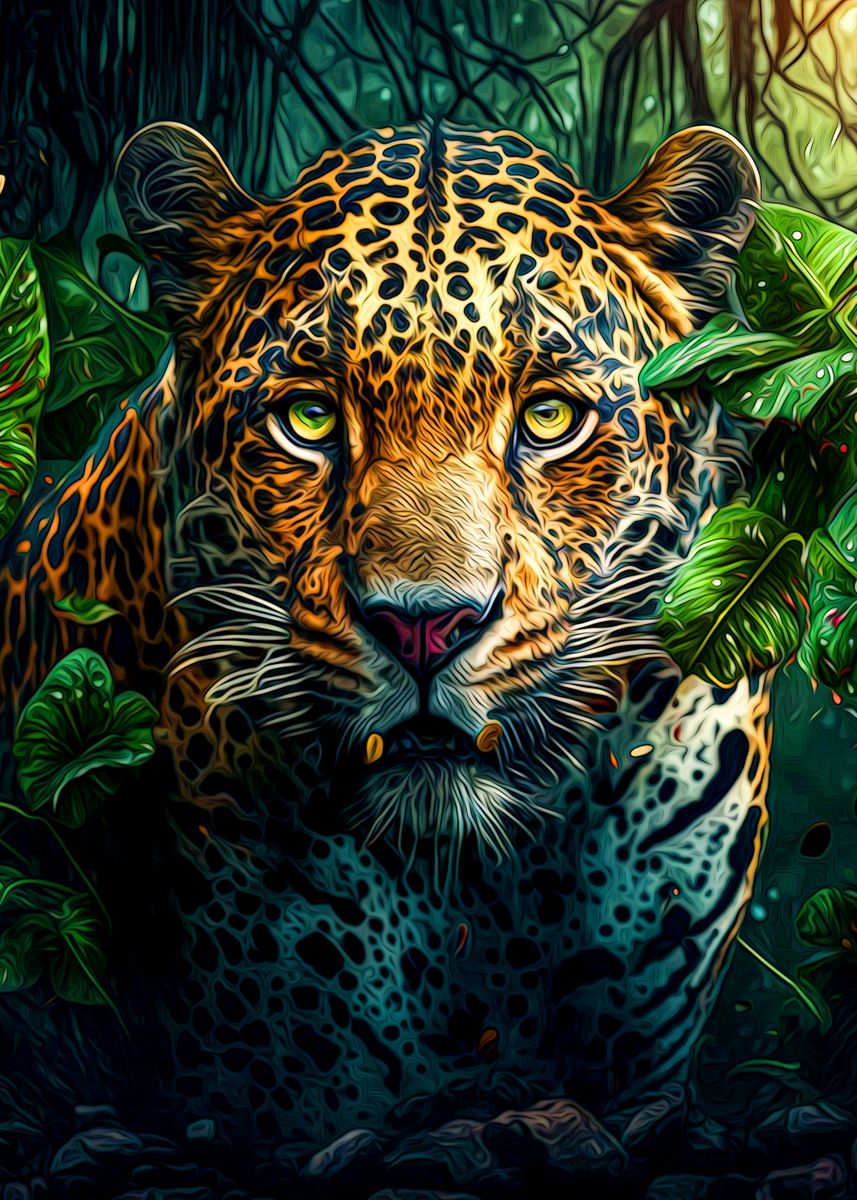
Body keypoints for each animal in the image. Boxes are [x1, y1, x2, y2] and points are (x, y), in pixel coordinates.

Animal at [0, 119, 771, 1192]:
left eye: (548, 417)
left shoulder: (639, 1055)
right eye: (311, 419)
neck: (480, 881)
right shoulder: (275, 1092)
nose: (424, 626)